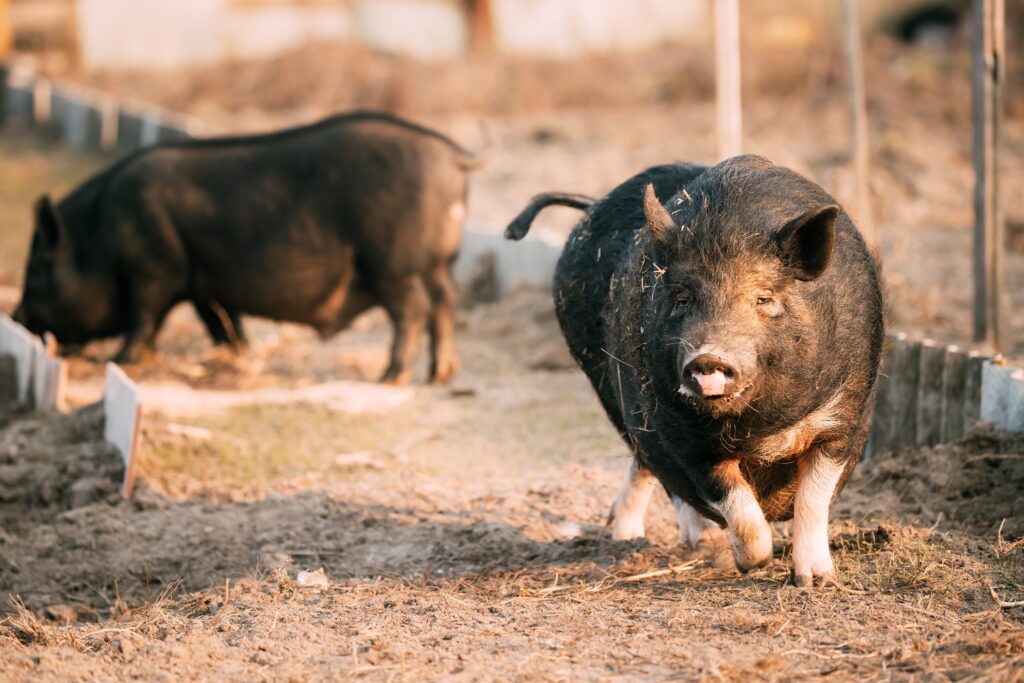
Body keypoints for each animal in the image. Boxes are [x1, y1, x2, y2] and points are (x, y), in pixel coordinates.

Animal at [14, 111, 485, 384]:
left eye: (37, 268)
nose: (16, 317)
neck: (96, 237)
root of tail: (453, 154)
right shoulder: (201, 284)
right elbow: (221, 322)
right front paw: (235, 355)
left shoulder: (154, 269)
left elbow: (143, 317)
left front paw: (121, 362)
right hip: (436, 265)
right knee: (445, 301)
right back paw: (441, 375)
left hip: (394, 265)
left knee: (414, 309)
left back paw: (390, 377)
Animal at [505, 156, 884, 585]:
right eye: (682, 297)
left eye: (763, 297)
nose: (708, 358)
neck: (762, 430)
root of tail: (591, 204)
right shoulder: (685, 436)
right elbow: (729, 497)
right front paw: (750, 562)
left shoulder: (842, 418)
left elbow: (814, 497)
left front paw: (815, 580)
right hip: (612, 392)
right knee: (655, 467)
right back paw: (675, 541)